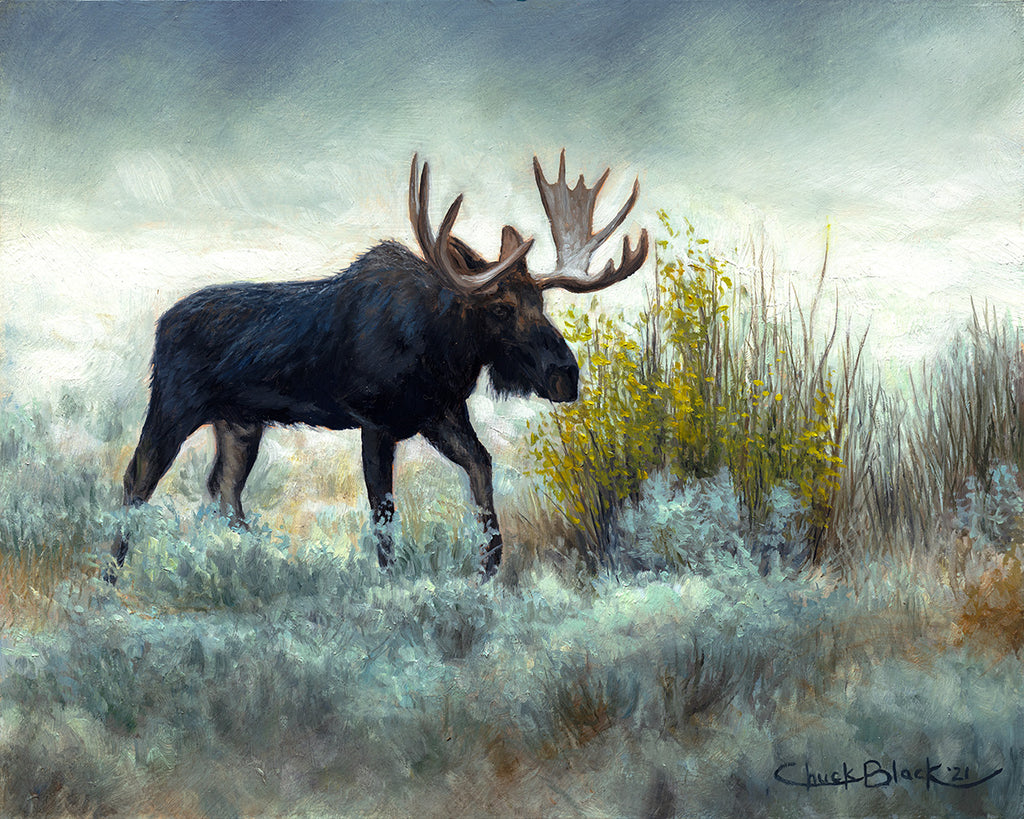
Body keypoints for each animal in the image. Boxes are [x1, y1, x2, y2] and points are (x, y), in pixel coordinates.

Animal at [105, 151, 648, 582]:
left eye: (540, 301)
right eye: (500, 308)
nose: (565, 374)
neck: (441, 351)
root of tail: (159, 326)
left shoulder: (440, 414)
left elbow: (482, 467)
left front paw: (489, 565)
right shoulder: (376, 422)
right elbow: (383, 513)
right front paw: (392, 581)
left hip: (240, 424)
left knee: (224, 490)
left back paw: (248, 558)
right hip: (174, 406)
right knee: (136, 481)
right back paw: (112, 576)